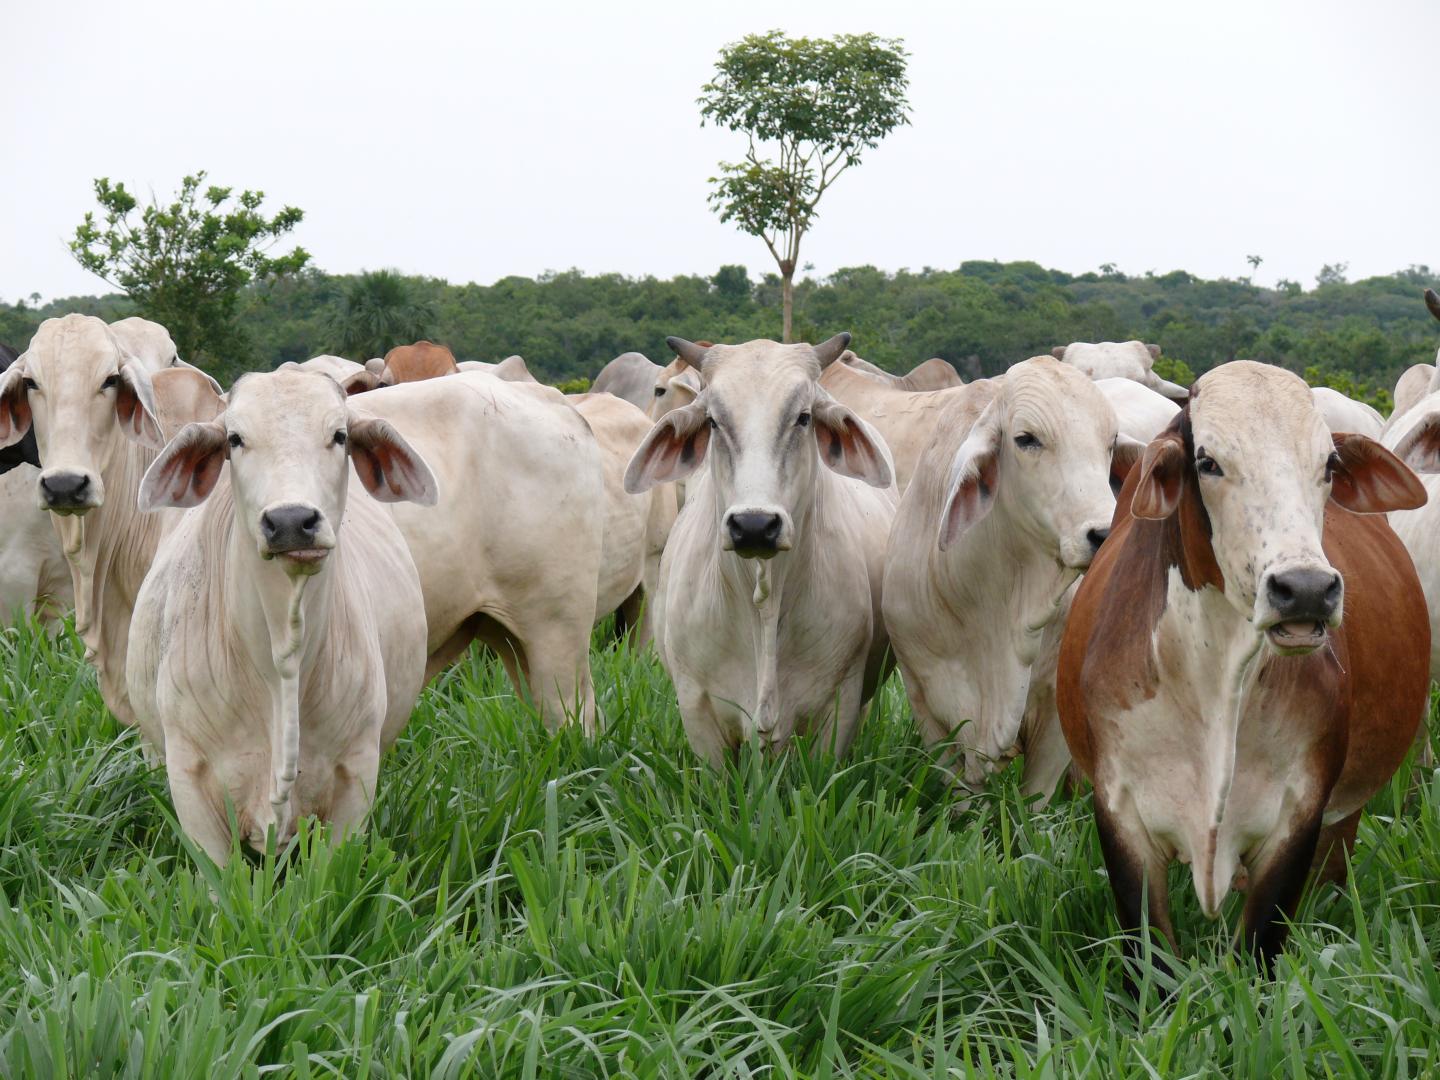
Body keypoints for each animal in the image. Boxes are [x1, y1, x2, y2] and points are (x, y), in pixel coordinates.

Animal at [127, 368, 435, 864]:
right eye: (234, 438)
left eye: (340, 435)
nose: (291, 520)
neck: (281, 660)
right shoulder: (189, 778)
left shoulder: (356, 774)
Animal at [626, 334, 896, 765]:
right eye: (713, 422)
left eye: (804, 417)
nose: (754, 526)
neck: (763, 608)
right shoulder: (697, 709)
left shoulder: (839, 706)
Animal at [1058, 361, 1428, 968]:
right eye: (1208, 462)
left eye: (1328, 464)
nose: (1306, 589)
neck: (1216, 678)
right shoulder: (1119, 815)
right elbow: (1150, 957)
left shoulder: (1299, 817)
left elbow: (1258, 947)